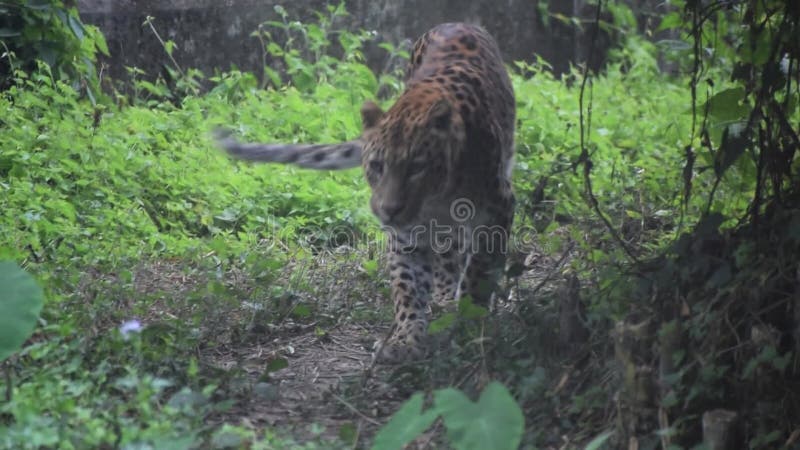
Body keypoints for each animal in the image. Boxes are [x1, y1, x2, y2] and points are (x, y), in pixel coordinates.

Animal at [216, 23, 515, 363]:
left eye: (417, 167)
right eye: (376, 165)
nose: (388, 209)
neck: (436, 196)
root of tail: (455, 22)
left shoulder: (498, 208)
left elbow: (480, 271)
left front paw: (469, 323)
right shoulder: (407, 234)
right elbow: (408, 287)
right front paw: (404, 339)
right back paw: (442, 297)